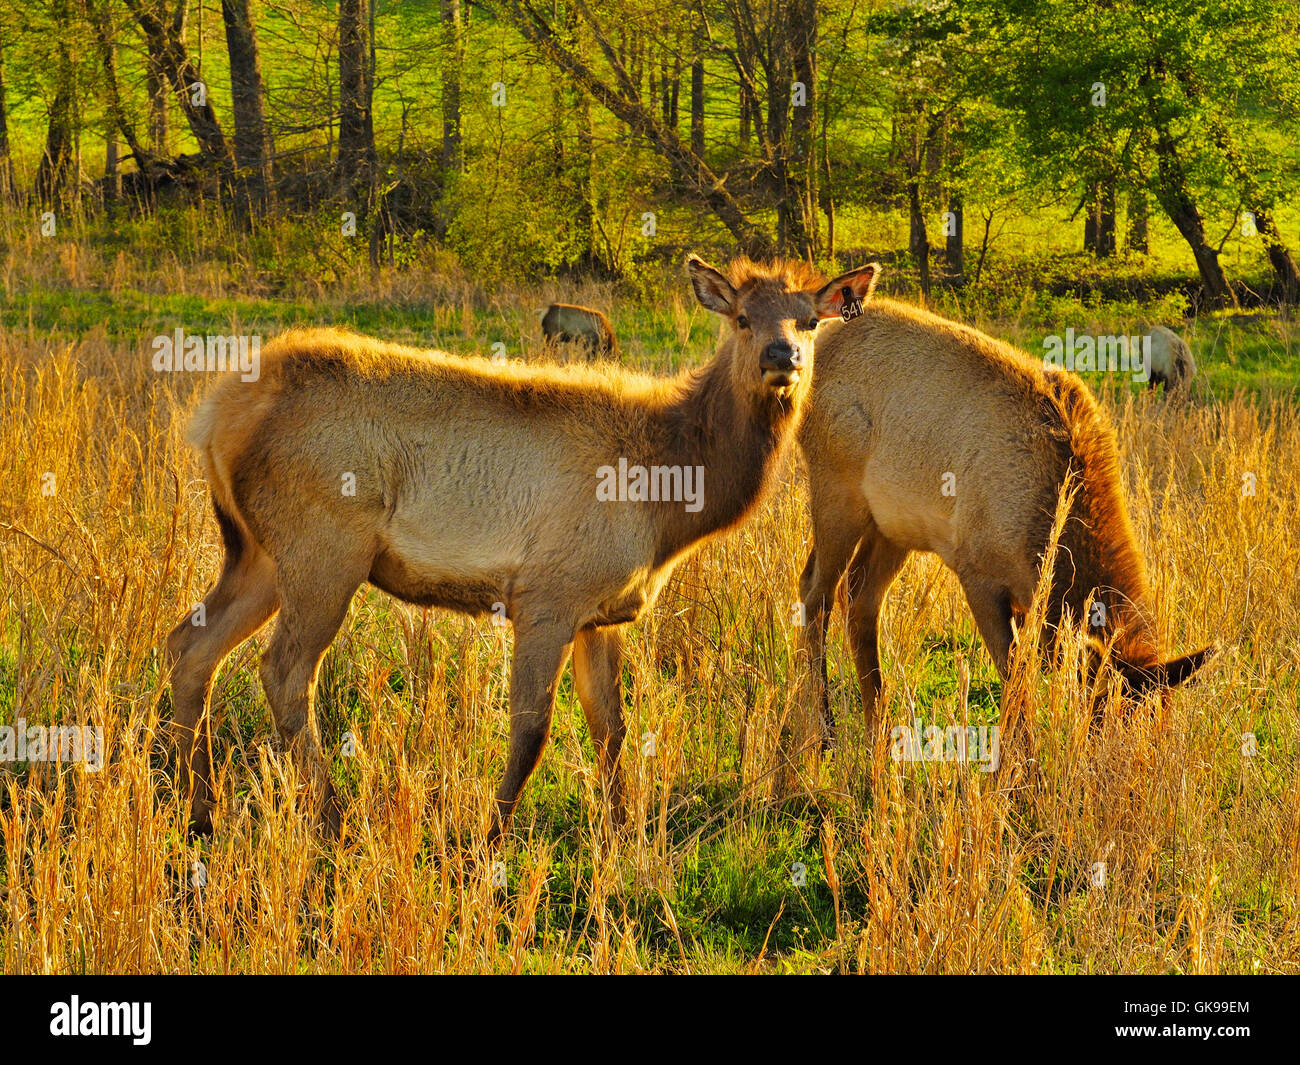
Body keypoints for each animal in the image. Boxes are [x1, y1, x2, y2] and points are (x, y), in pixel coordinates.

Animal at [165, 255, 881, 842]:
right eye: (741, 318)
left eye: (809, 321)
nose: (782, 356)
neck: (670, 499)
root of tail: (215, 415)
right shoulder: (548, 594)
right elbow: (532, 728)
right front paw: (489, 837)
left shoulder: (602, 610)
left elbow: (611, 725)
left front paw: (622, 833)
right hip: (323, 546)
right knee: (284, 670)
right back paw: (331, 820)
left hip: (258, 552)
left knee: (190, 644)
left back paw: (198, 810)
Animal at [796, 297, 1214, 746]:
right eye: (1104, 720)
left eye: (1160, 720)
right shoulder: (976, 573)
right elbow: (1015, 685)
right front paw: (1020, 761)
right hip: (835, 487)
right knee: (816, 590)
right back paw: (824, 730)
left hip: (893, 524)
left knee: (859, 596)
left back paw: (879, 725)